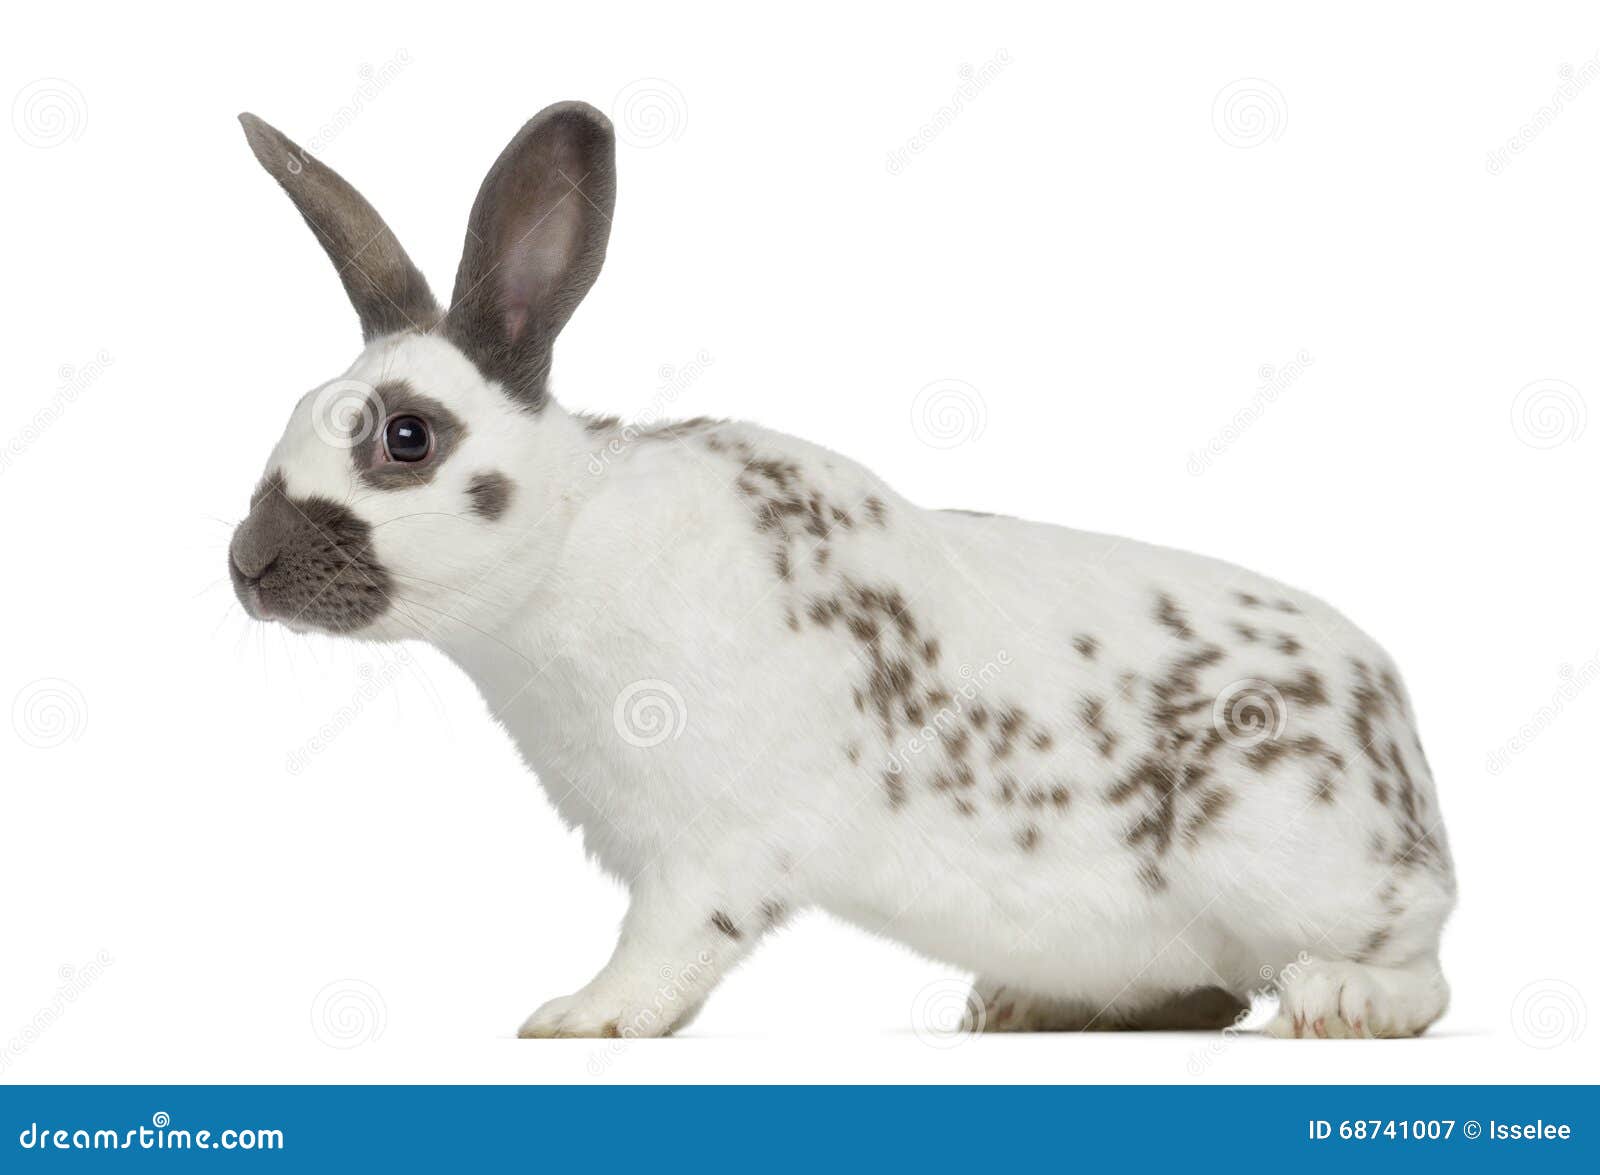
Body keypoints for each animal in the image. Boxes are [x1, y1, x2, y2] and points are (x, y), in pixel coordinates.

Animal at [229, 102, 1455, 1041]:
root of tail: (1408, 771)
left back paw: (1337, 1003)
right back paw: (1015, 1010)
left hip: (1289, 866)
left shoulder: (705, 854)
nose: (247, 564)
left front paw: (579, 1017)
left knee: (1418, 971)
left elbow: (664, 949)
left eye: (406, 438)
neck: (570, 546)